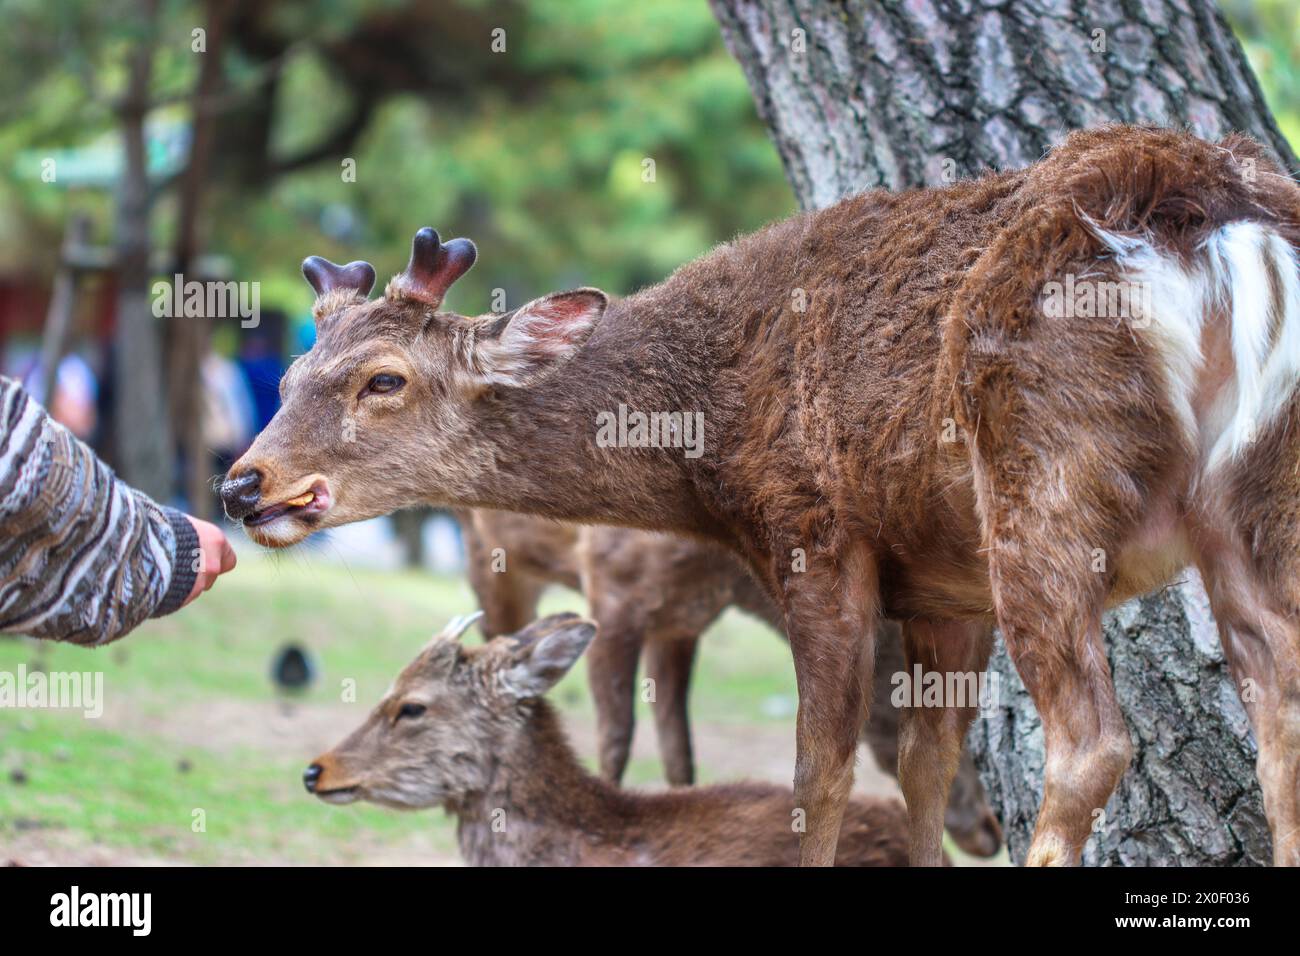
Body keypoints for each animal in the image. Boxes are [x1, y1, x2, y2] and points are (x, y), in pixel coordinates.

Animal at [456, 507, 1003, 856]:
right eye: (975, 735)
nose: (991, 828)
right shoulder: (611, 591)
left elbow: (679, 751)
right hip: (491, 555)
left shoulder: (681, 622)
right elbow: (615, 740)